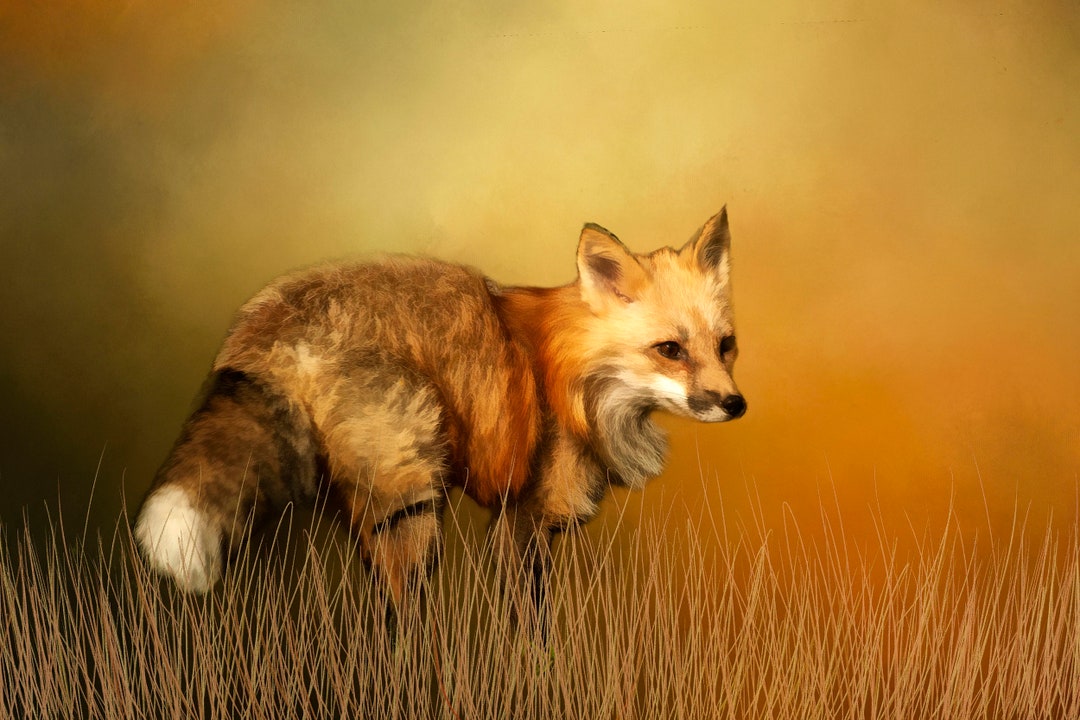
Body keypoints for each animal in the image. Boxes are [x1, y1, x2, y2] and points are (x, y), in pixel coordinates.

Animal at [134, 207, 746, 618]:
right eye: (669, 350)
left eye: (726, 346)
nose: (736, 405)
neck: (573, 376)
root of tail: (263, 319)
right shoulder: (523, 516)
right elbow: (533, 631)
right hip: (411, 506)